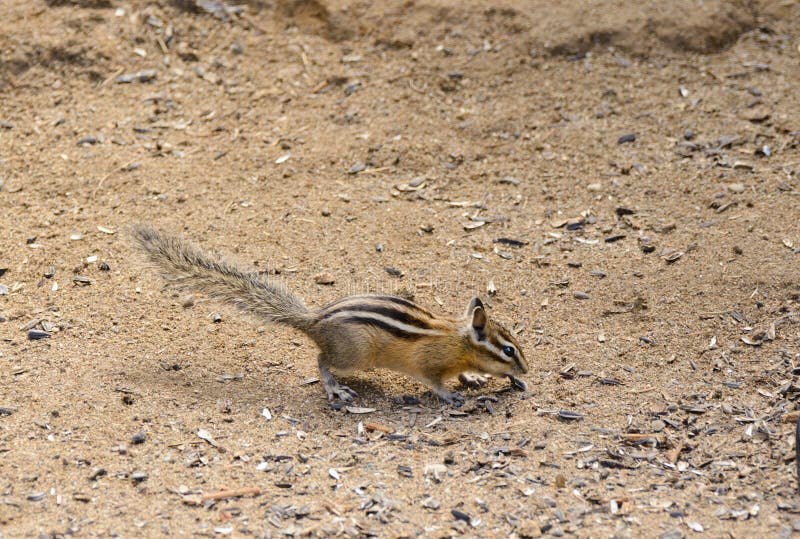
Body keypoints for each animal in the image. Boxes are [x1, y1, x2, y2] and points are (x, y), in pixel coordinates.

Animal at [133, 226, 528, 406]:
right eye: (508, 350)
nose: (525, 371)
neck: (458, 341)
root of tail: (315, 322)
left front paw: (472, 379)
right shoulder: (429, 364)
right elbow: (434, 382)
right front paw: (452, 396)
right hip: (355, 356)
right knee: (321, 361)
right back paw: (334, 387)